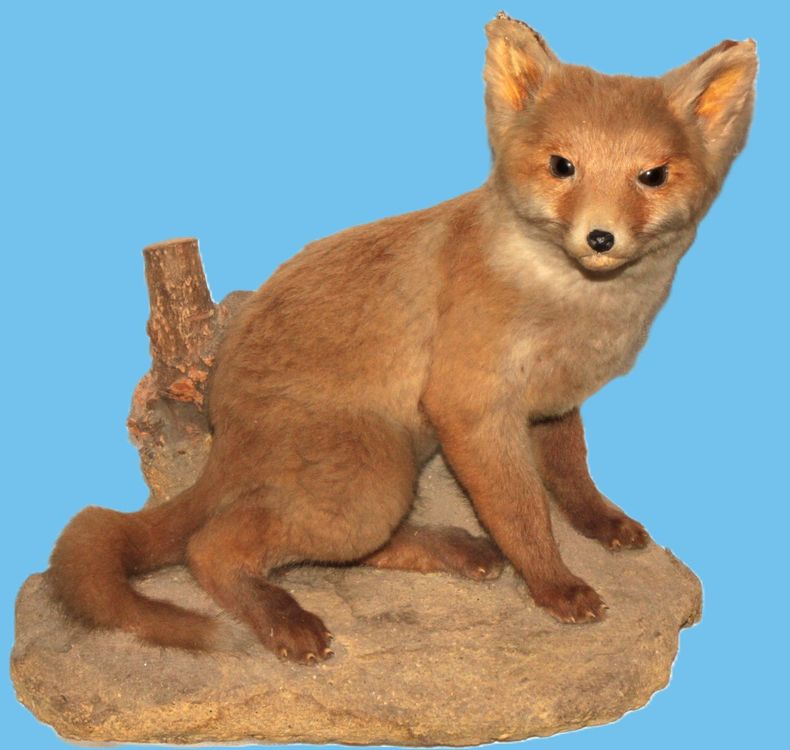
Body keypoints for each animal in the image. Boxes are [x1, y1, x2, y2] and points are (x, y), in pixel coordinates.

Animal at [49, 12, 757, 665]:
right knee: (210, 548)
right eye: (563, 167)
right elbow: (522, 511)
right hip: (374, 479)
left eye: (652, 175)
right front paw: (555, 586)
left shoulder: (555, 402)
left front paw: (604, 525)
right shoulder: (470, 407)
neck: (577, 313)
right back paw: (286, 622)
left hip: (393, 470)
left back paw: (454, 550)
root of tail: (223, 439)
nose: (601, 238)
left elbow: (572, 475)